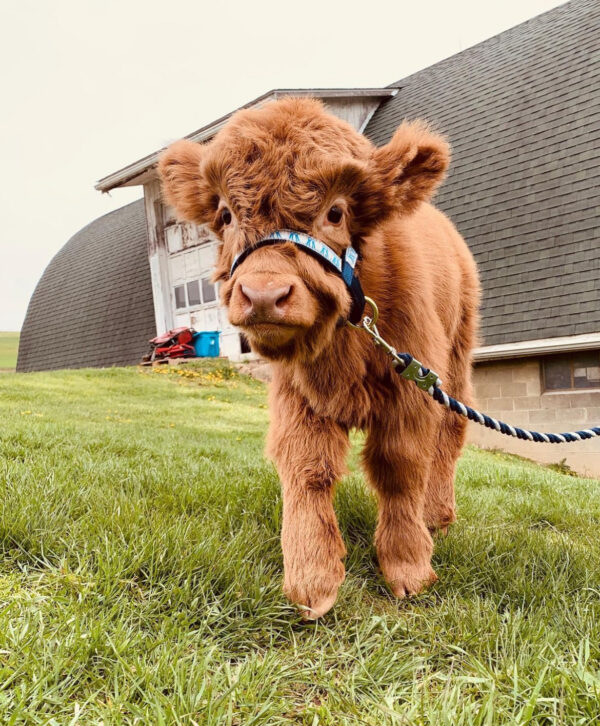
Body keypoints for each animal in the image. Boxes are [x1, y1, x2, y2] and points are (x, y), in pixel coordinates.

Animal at [158, 98, 480, 619]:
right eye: (225, 214)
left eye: (336, 212)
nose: (264, 294)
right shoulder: (297, 392)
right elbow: (307, 467)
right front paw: (313, 577)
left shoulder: (410, 389)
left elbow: (400, 465)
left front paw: (408, 565)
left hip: (455, 359)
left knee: (450, 434)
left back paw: (437, 515)